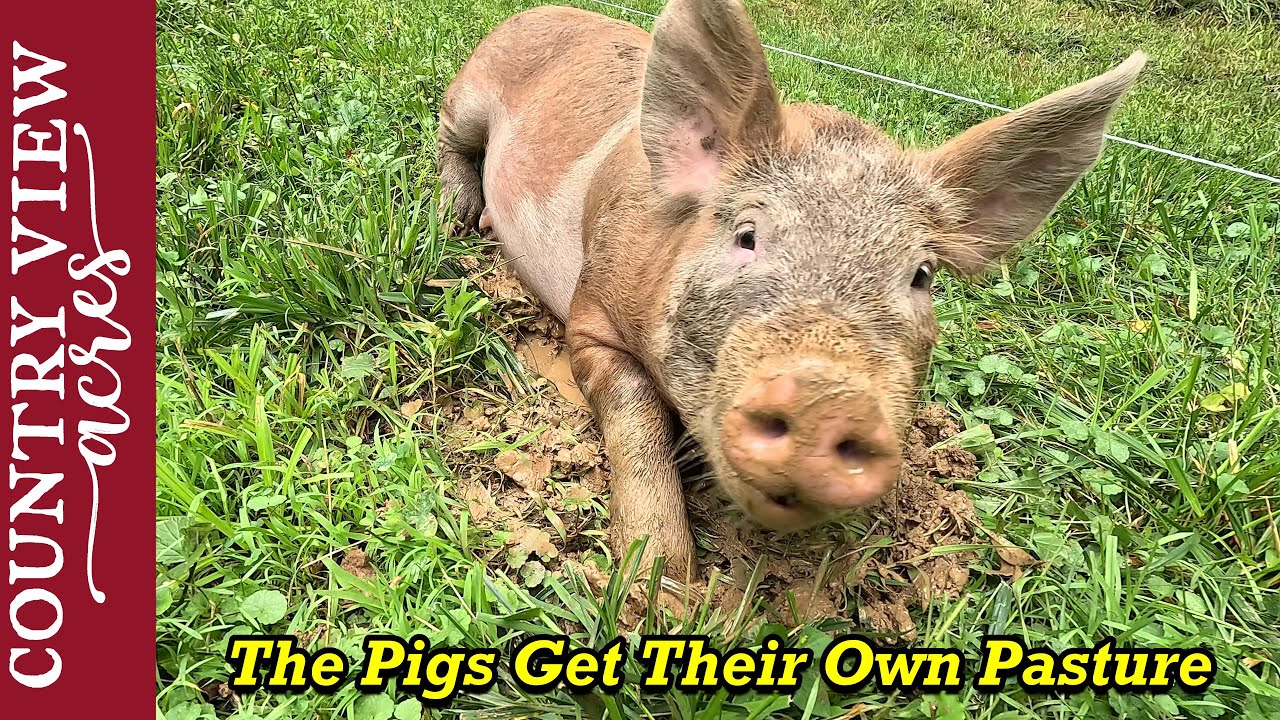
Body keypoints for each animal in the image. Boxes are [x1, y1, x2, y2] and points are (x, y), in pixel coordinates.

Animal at [438, 0, 1144, 579]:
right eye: (748, 235)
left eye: (921, 275)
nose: (828, 397)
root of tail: (538, 11)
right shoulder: (590, 318)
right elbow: (638, 418)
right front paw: (662, 585)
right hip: (470, 92)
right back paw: (465, 216)